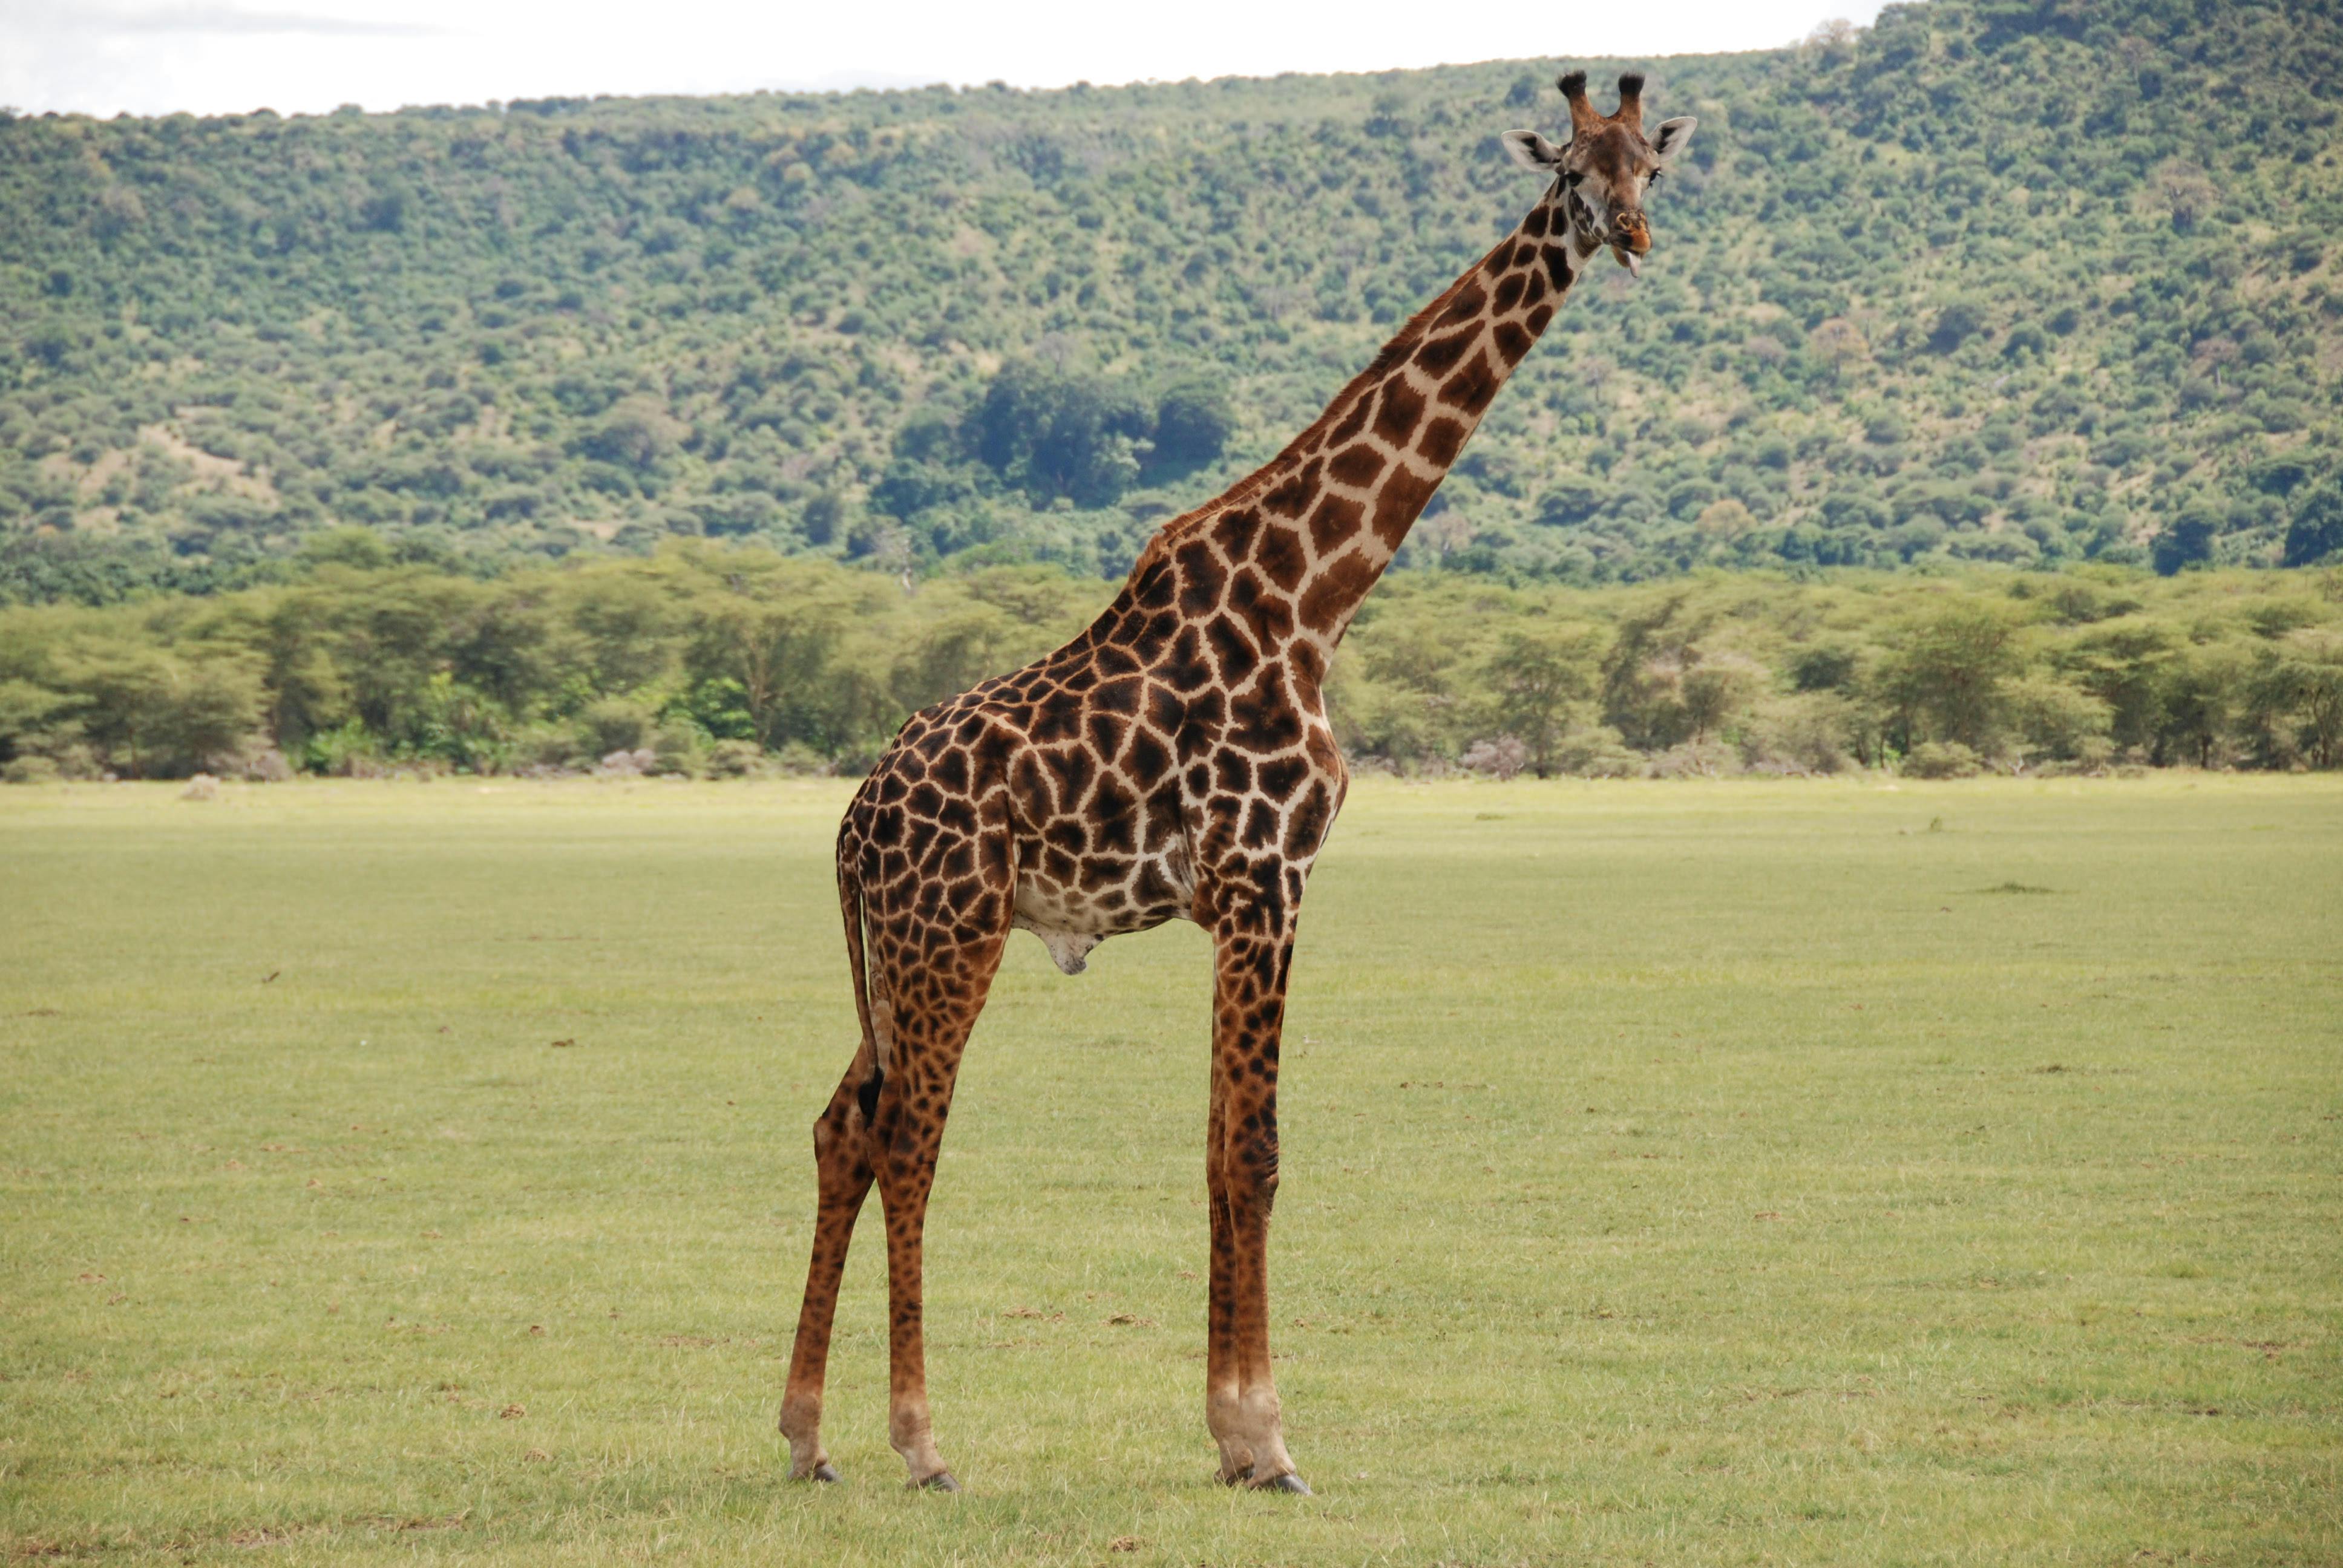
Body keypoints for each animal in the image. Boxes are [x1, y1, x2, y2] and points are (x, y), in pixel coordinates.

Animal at [779, 70, 1696, 1495]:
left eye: (1650, 163)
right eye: (1568, 170)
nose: (1630, 234)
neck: (1315, 595)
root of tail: (853, 821)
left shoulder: (1240, 896)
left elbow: (1219, 1147)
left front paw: (1230, 1433)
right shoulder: (1270, 877)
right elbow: (1256, 1153)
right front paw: (1265, 1439)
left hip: (891, 948)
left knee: (843, 1124)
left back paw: (806, 1433)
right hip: (951, 932)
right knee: (909, 1136)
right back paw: (921, 1443)